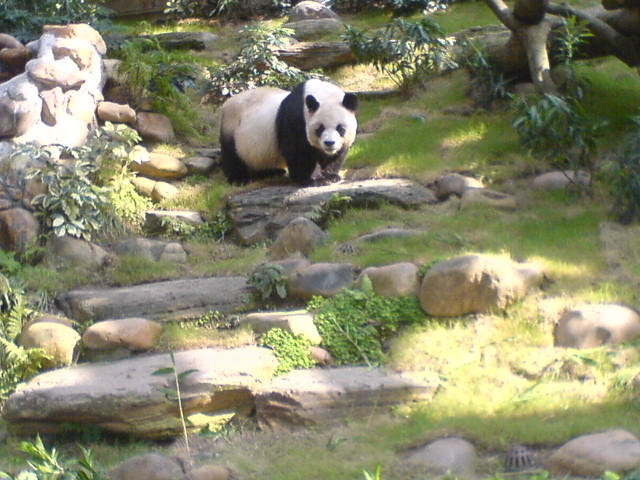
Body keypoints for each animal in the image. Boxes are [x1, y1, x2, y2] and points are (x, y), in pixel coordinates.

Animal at [219, 79, 358, 186]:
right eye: (320, 128)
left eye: (340, 128)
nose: (329, 143)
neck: (322, 94)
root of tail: (226, 104)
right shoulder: (296, 118)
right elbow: (297, 151)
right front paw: (308, 180)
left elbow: (336, 154)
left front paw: (331, 176)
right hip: (232, 128)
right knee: (232, 156)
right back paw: (239, 180)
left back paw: (272, 172)